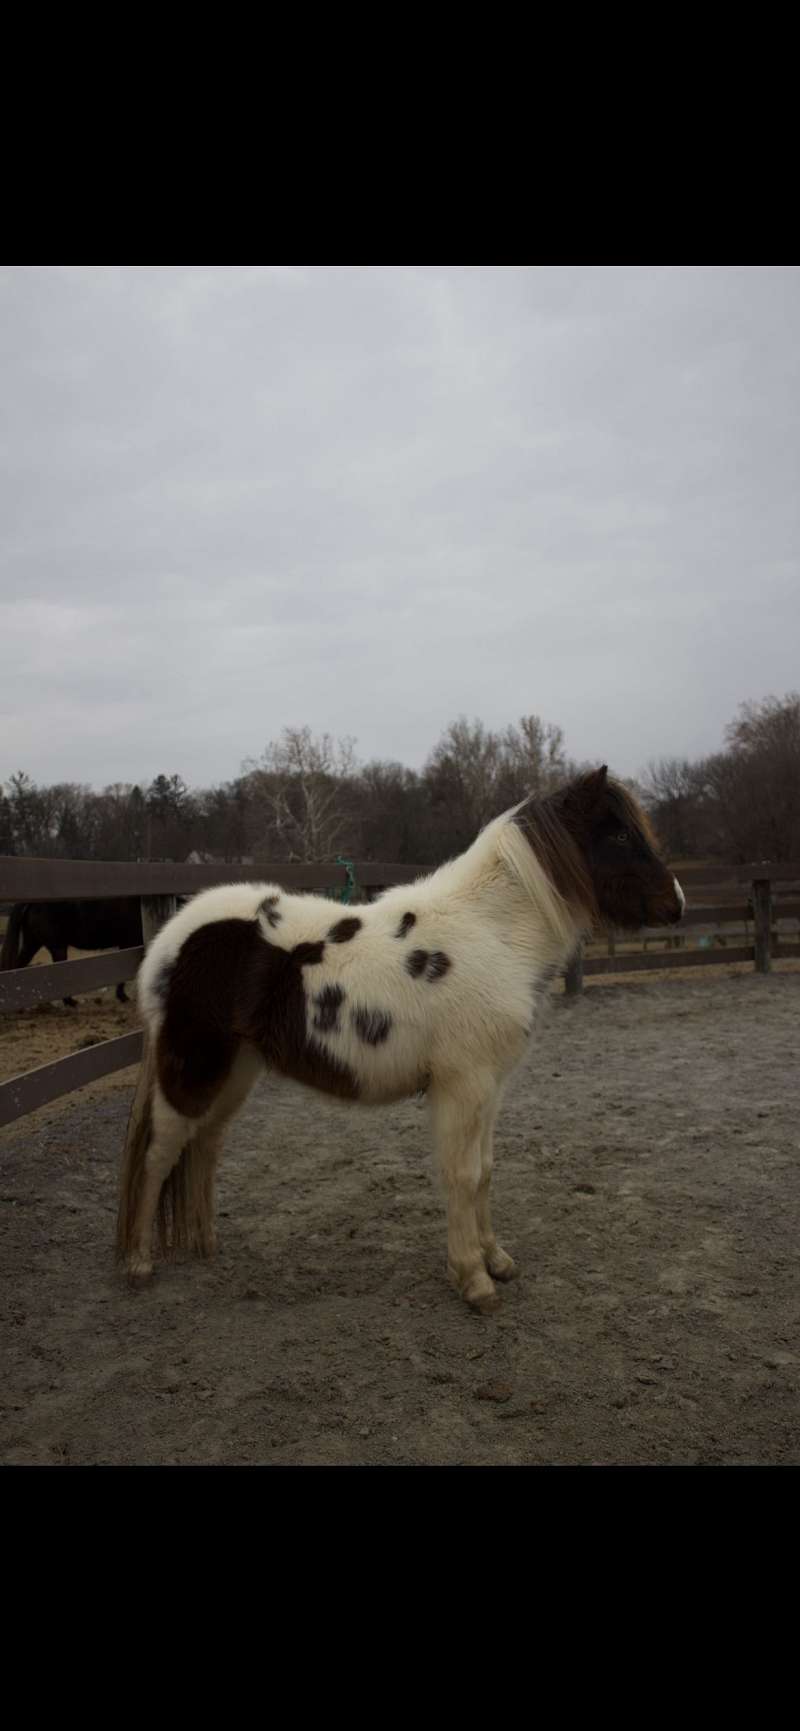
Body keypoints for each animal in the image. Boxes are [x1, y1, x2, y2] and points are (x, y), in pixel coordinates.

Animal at [1, 898, 143, 1006]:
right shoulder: (131, 942)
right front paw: (123, 996)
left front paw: (122, 996)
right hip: (57, 948)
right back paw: (70, 1002)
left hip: (32, 944)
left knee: (17, 967)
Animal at [117, 766, 685, 1313]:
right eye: (618, 833)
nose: (676, 903)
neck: (491, 931)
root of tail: (172, 937)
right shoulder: (462, 1086)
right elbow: (461, 1175)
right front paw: (474, 1281)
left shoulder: (491, 1088)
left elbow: (484, 1171)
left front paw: (496, 1260)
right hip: (192, 1070)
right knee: (159, 1153)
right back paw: (140, 1264)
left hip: (236, 1071)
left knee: (205, 1146)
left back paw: (205, 1244)